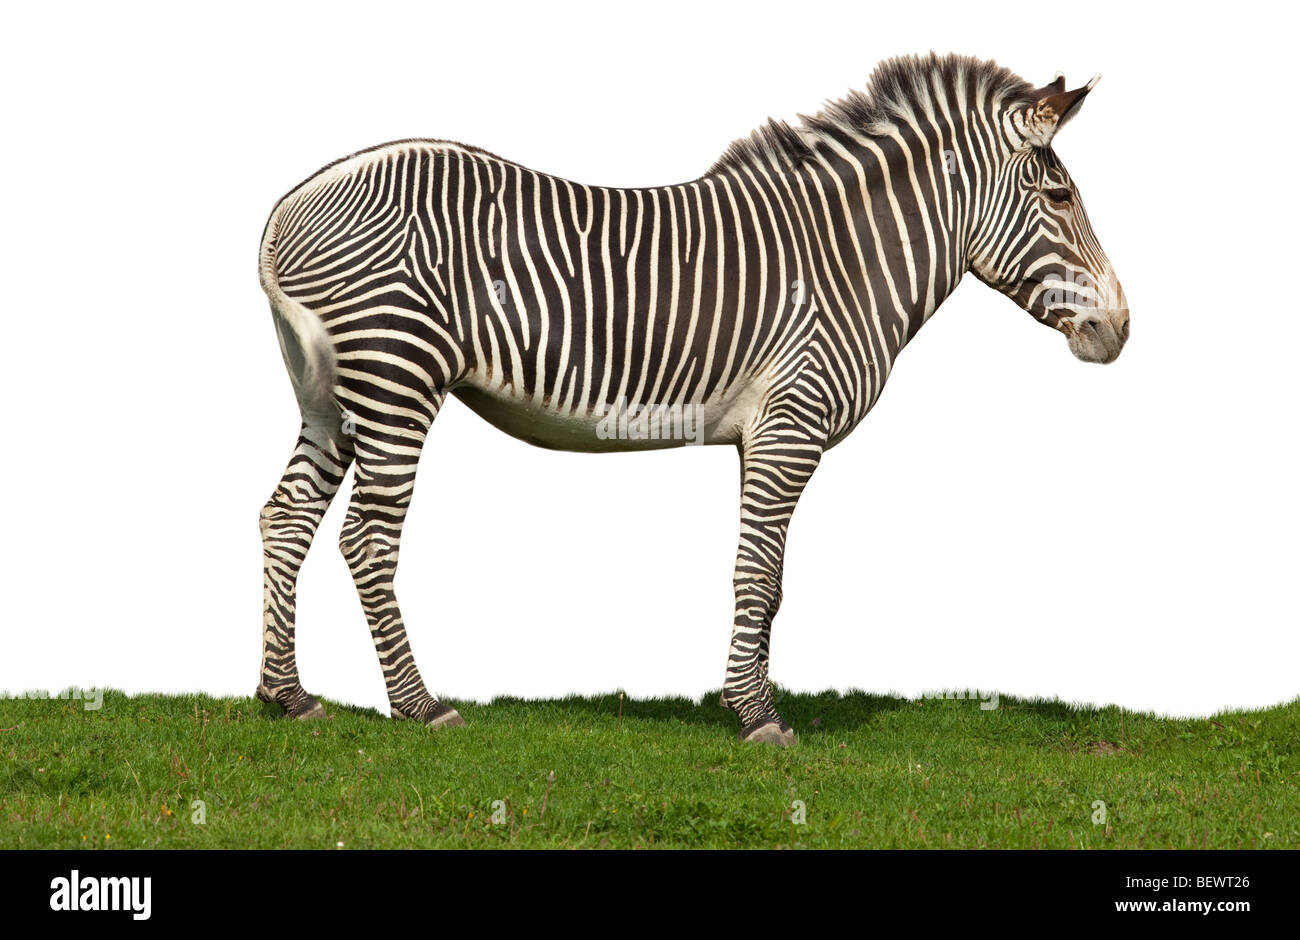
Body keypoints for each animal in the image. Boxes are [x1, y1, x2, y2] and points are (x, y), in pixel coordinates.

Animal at [256, 53, 1128, 745]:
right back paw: (420, 705)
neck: (844, 259)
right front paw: (759, 717)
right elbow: (758, 575)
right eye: (1059, 196)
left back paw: (287, 696)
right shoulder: (790, 426)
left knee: (286, 517)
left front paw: (745, 700)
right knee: (367, 538)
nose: (1119, 328)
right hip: (397, 376)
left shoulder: (764, 437)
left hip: (333, 398)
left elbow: (771, 582)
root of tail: (292, 206)